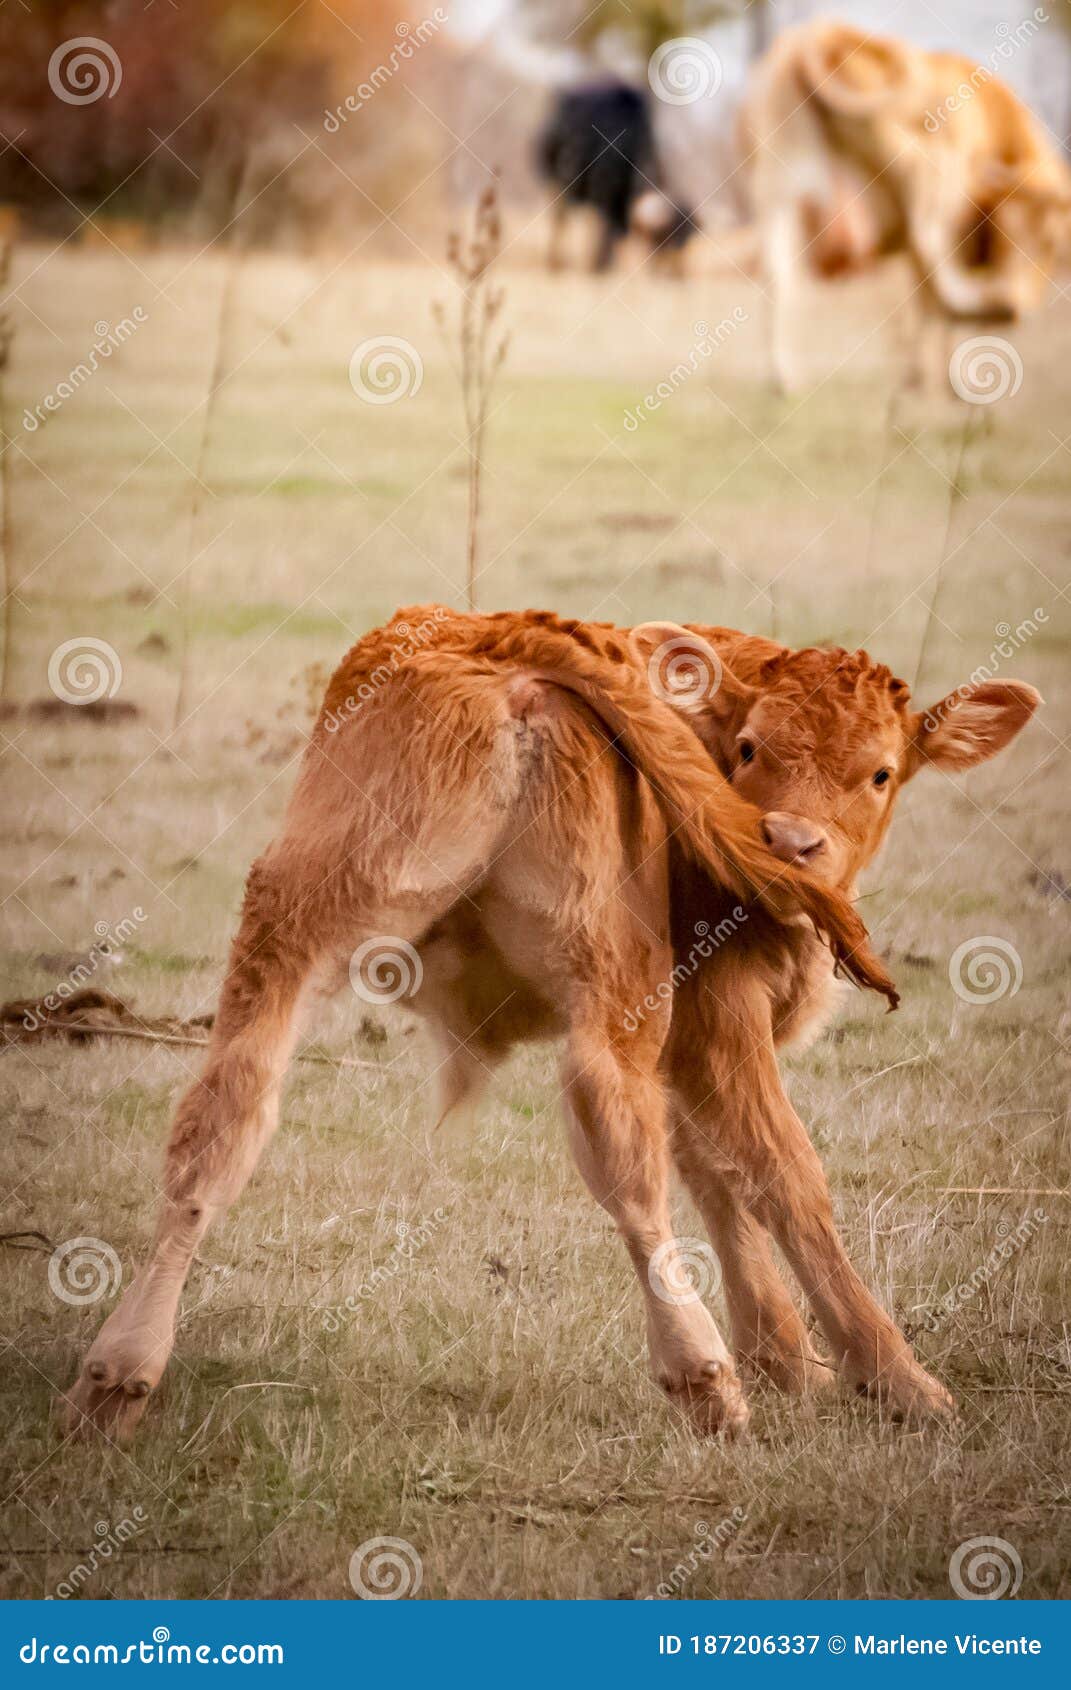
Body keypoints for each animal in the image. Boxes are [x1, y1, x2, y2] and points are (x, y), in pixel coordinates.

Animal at [62, 607, 1039, 1444]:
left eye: (879, 772)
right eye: (753, 746)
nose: (791, 843)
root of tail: (496, 638)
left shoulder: (690, 1049)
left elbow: (716, 1170)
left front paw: (785, 1357)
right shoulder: (716, 1016)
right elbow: (777, 1175)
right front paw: (887, 1378)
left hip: (296, 918)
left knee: (220, 1121)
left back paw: (115, 1378)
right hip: (615, 980)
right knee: (624, 1152)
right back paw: (703, 1378)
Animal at [536, 81, 698, 273]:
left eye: (686, 240)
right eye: (667, 238)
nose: (678, 273)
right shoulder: (604, 191)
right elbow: (607, 226)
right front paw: (599, 264)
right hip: (561, 180)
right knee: (563, 217)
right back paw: (559, 262)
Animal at [739, 19, 1071, 392]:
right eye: (1051, 242)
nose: (1020, 310)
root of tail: (819, 33)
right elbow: (929, 302)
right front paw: (935, 379)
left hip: (777, 193)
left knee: (780, 285)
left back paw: (785, 380)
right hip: (923, 178)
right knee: (940, 276)